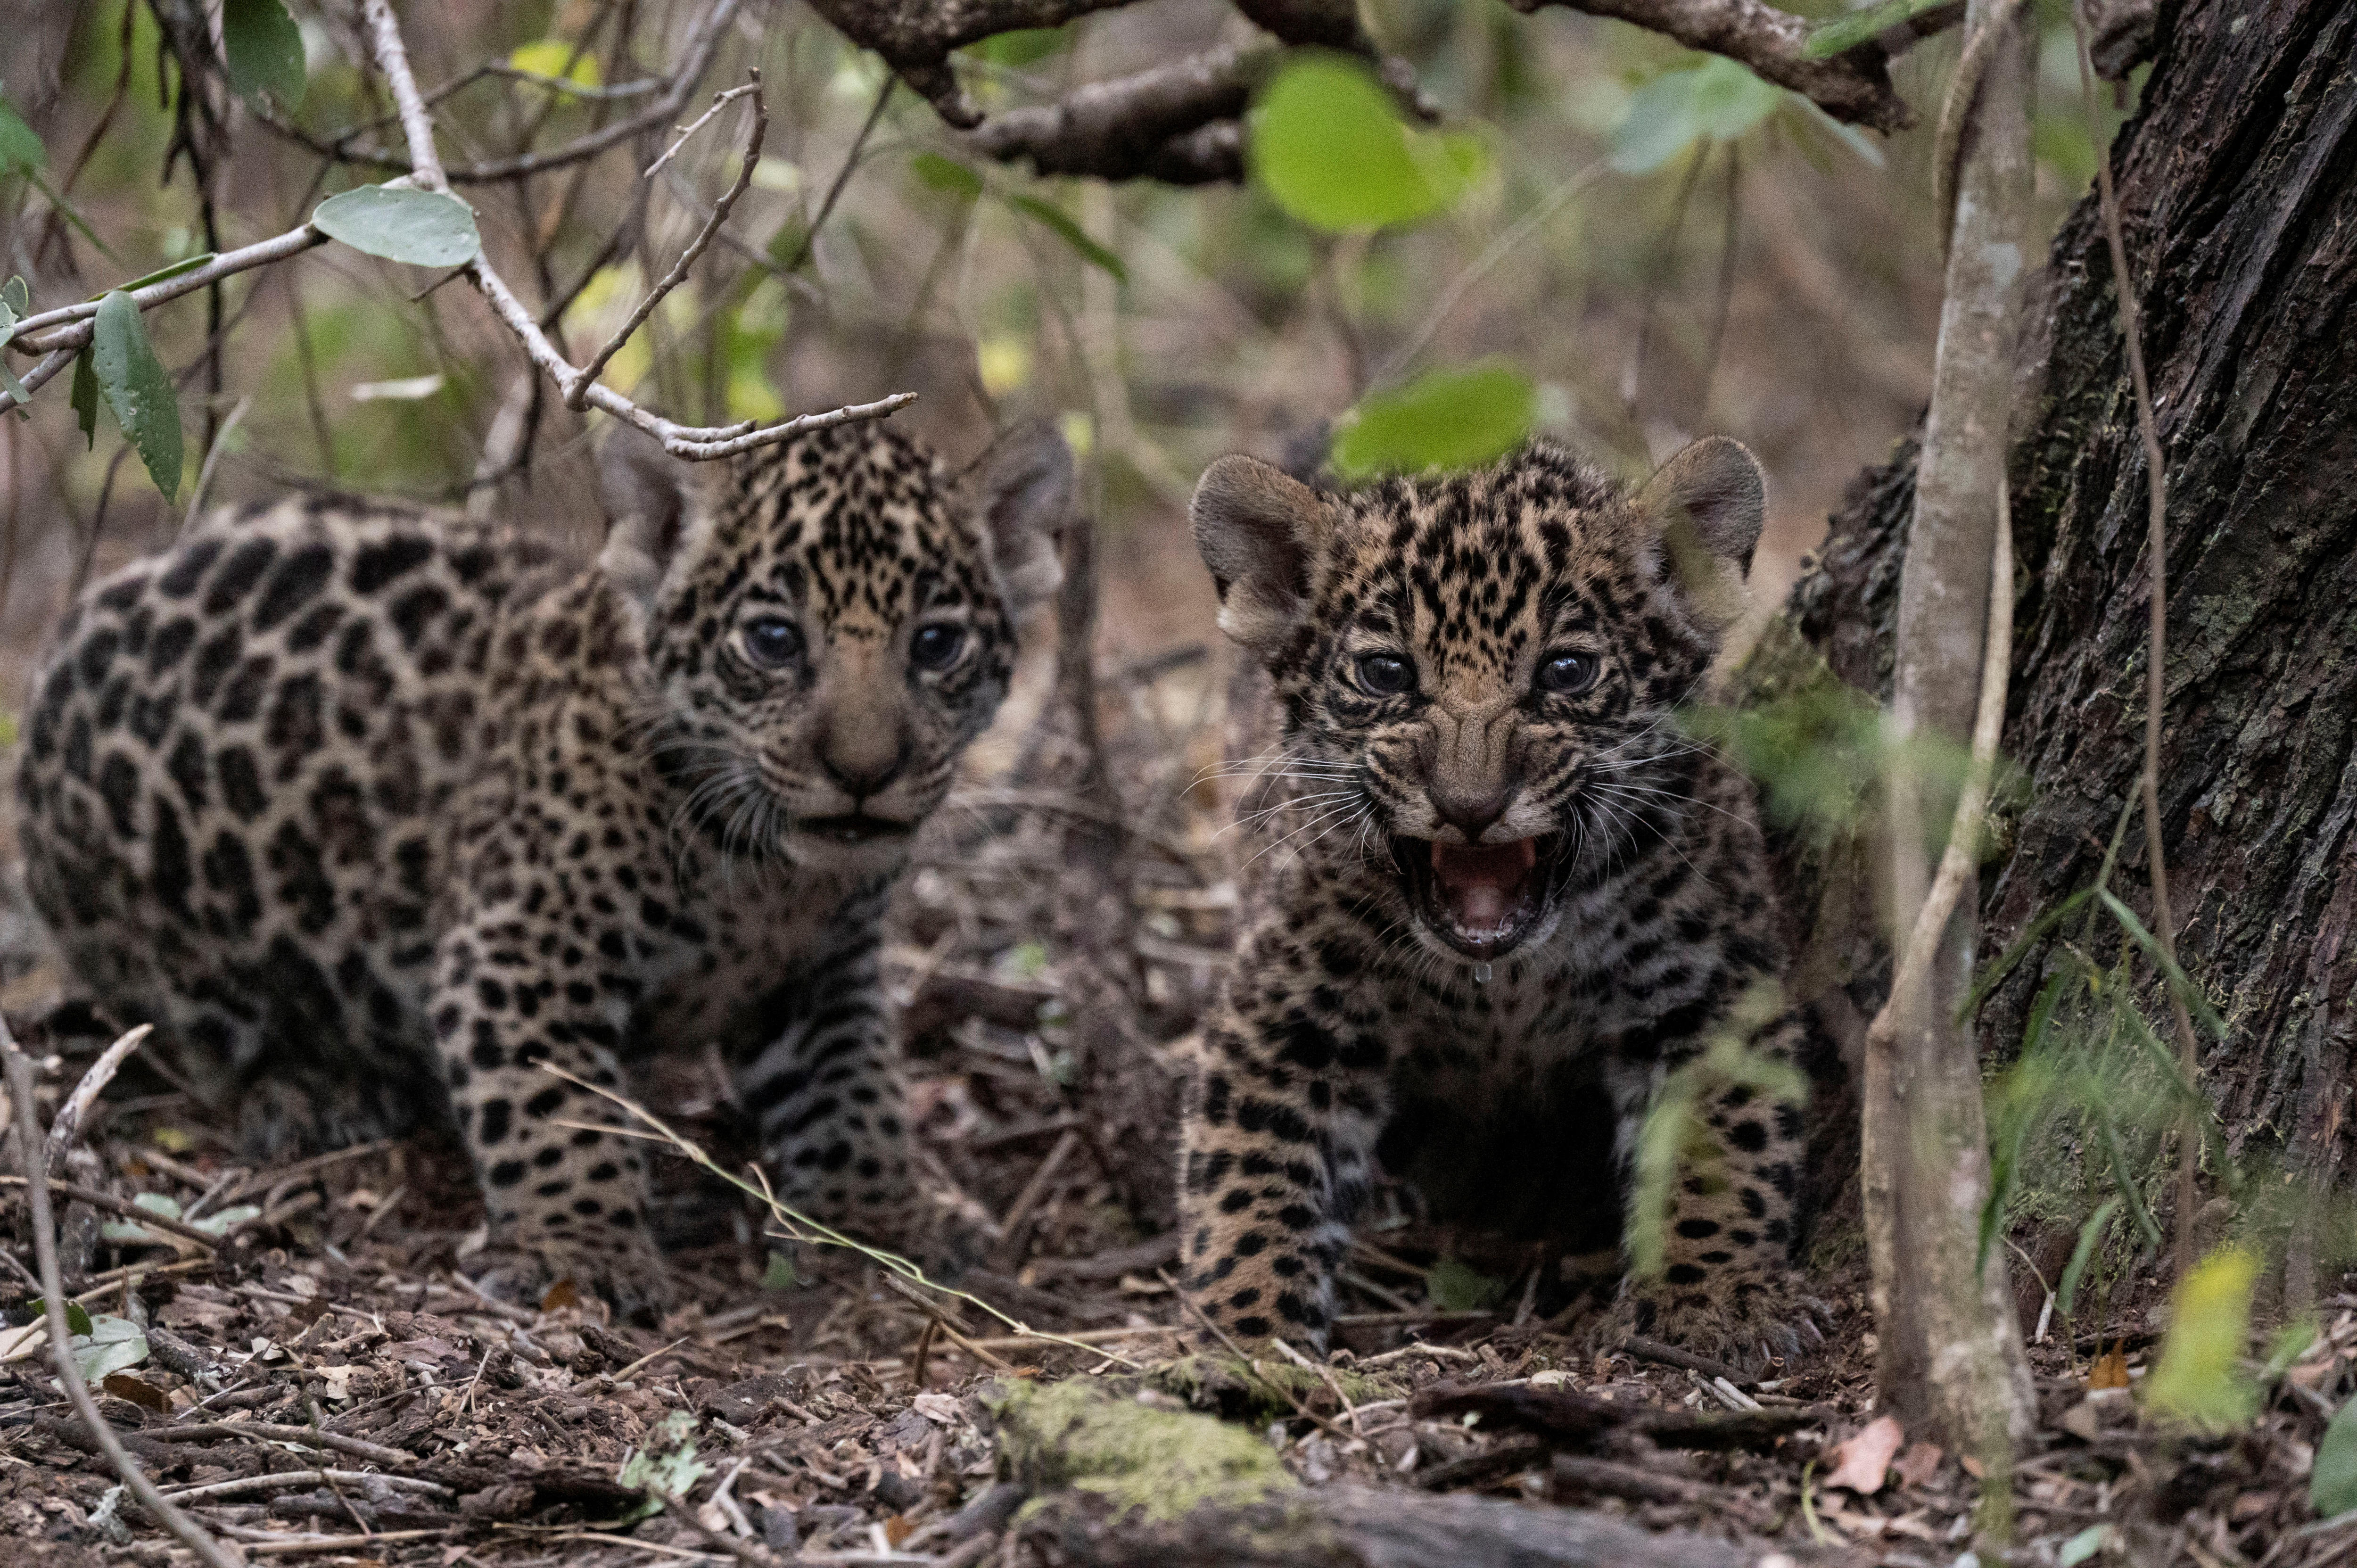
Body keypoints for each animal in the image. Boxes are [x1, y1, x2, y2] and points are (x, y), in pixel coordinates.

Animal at [15, 419, 1069, 1312]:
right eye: (774, 640)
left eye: (936, 644)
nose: (862, 773)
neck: (768, 877)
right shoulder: (521, 951)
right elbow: (558, 1111)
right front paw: (583, 1253)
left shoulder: (825, 970)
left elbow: (855, 1091)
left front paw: (885, 1216)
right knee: (198, 1024)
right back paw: (315, 1089)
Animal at [1176, 434, 1815, 1364]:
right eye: (1385, 672)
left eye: (1567, 671)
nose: (1470, 805)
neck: (1503, 989)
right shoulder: (1287, 1018)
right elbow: (1248, 1181)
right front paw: (1247, 1336)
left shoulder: (1709, 991)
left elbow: (1722, 1149)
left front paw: (1715, 1295)